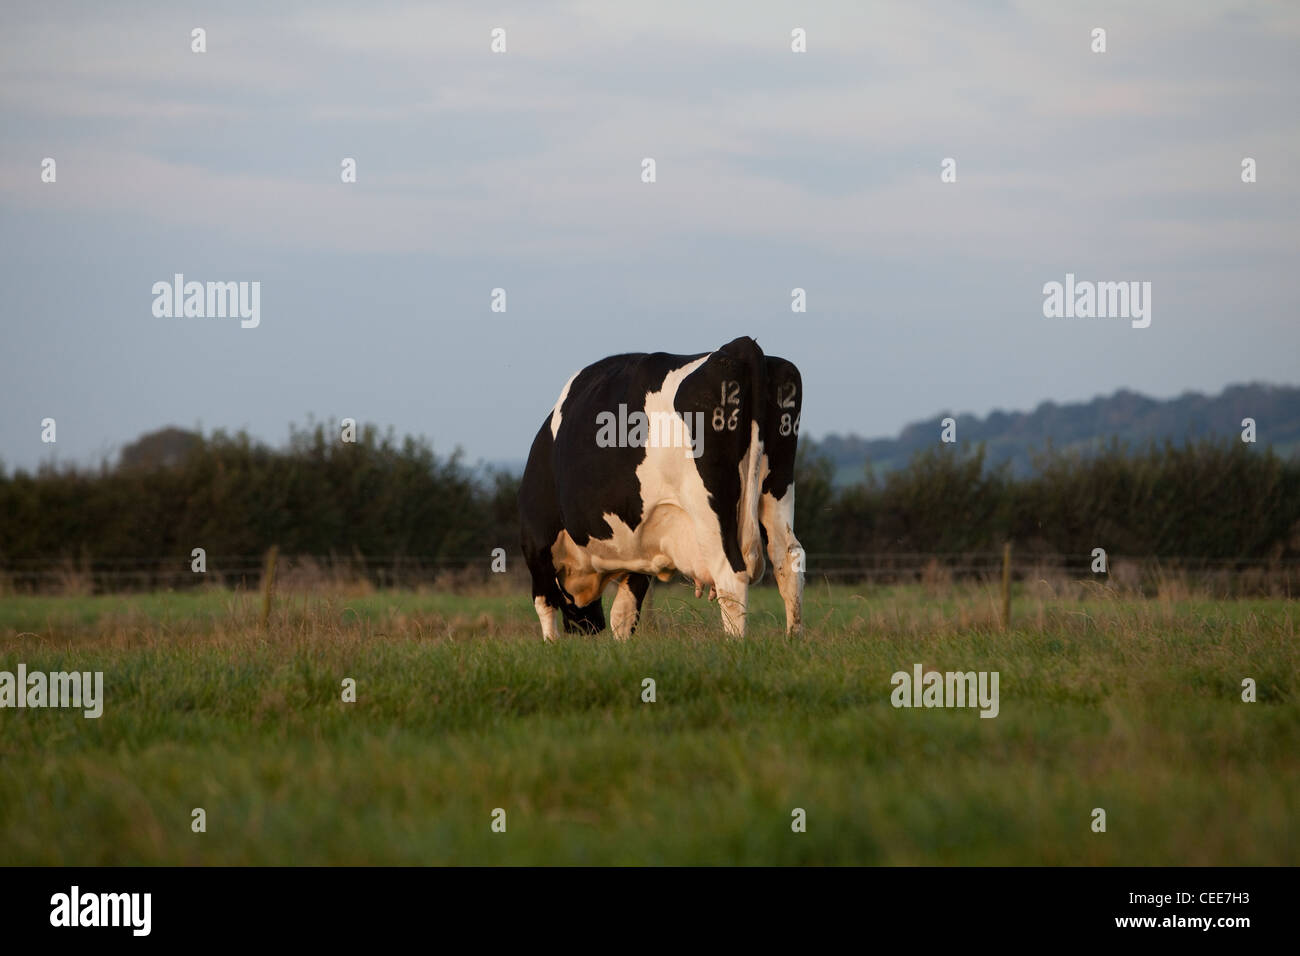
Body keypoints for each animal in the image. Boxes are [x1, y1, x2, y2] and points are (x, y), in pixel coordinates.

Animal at [518, 336, 804, 640]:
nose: (586, 627)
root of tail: (739, 346)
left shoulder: (537, 542)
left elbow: (545, 606)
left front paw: (552, 643)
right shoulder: (638, 554)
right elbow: (623, 613)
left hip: (709, 511)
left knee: (731, 575)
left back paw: (735, 644)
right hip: (777, 489)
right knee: (790, 562)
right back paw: (793, 641)